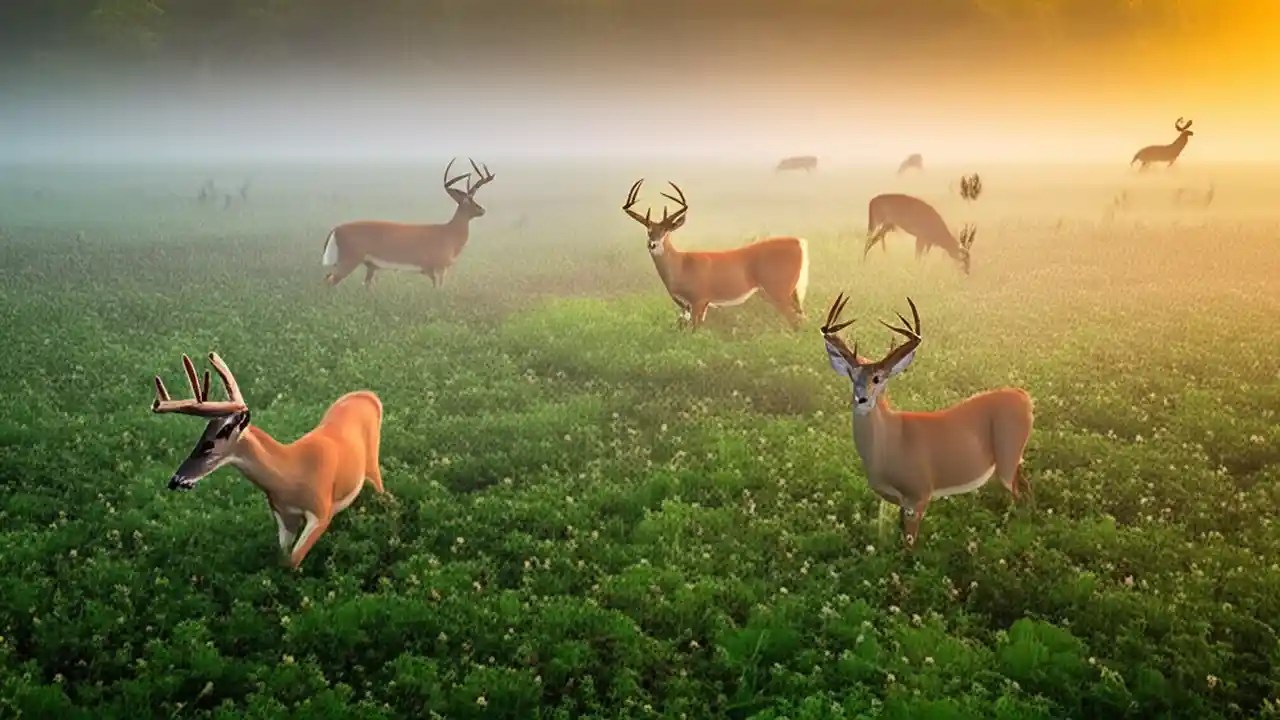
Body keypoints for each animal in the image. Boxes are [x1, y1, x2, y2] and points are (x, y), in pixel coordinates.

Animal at [150, 352, 386, 569]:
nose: (176, 480)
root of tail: (368, 394)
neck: (291, 472)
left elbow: (293, 561)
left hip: (372, 462)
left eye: (223, 431)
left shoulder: (321, 511)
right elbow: (282, 558)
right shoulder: (283, 515)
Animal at [321, 157, 495, 289]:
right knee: (330, 281)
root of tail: (336, 229)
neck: (449, 233)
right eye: (469, 200)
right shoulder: (436, 268)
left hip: (369, 266)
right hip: (349, 260)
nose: (482, 210)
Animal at [622, 179, 809, 330]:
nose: (652, 244)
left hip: (779, 288)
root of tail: (799, 242)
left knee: (796, 319)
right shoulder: (689, 305)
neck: (681, 265)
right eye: (649, 230)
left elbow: (694, 331)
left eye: (666, 231)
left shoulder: (699, 299)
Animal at [820, 294, 1034, 547]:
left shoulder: (920, 492)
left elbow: (909, 543)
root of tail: (1025, 397)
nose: (861, 399)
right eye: (852, 376)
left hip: (1008, 457)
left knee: (1018, 495)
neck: (888, 446)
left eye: (878, 378)